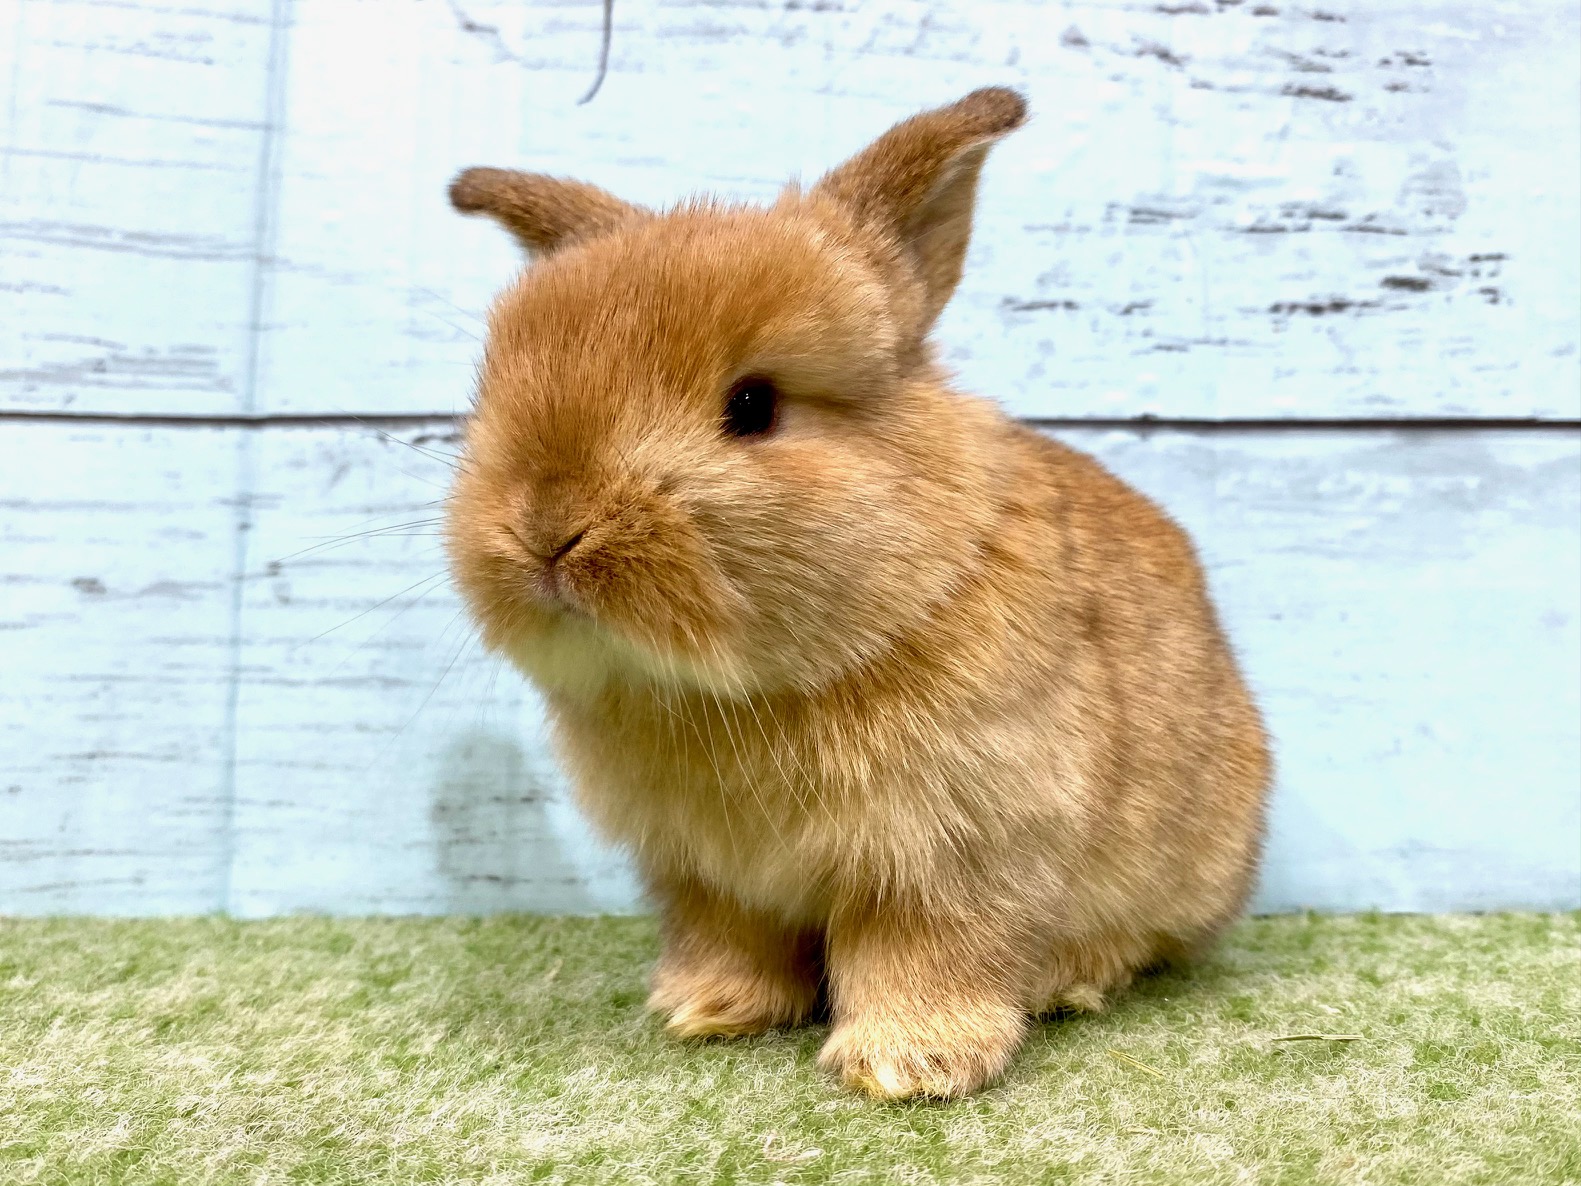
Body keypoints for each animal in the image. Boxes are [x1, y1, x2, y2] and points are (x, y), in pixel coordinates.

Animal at [444, 87, 1271, 1100]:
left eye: (752, 407)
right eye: (496, 390)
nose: (547, 529)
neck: (740, 690)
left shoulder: (949, 853)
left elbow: (924, 951)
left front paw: (905, 1067)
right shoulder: (708, 875)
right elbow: (732, 939)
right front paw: (706, 1012)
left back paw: (1069, 979)